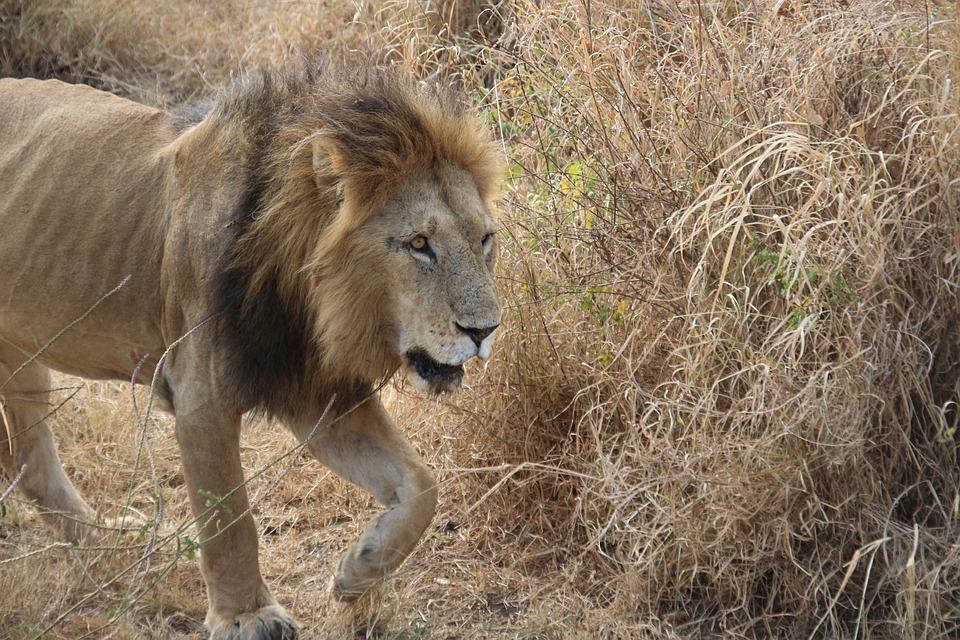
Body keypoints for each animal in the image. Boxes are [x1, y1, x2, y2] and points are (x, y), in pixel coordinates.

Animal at [0, 66, 506, 640]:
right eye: (419, 243)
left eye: (485, 240)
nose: (485, 329)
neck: (304, 293)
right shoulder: (201, 397)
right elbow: (230, 518)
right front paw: (248, 616)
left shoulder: (314, 389)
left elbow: (422, 484)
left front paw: (359, 571)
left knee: (29, 461)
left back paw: (112, 544)